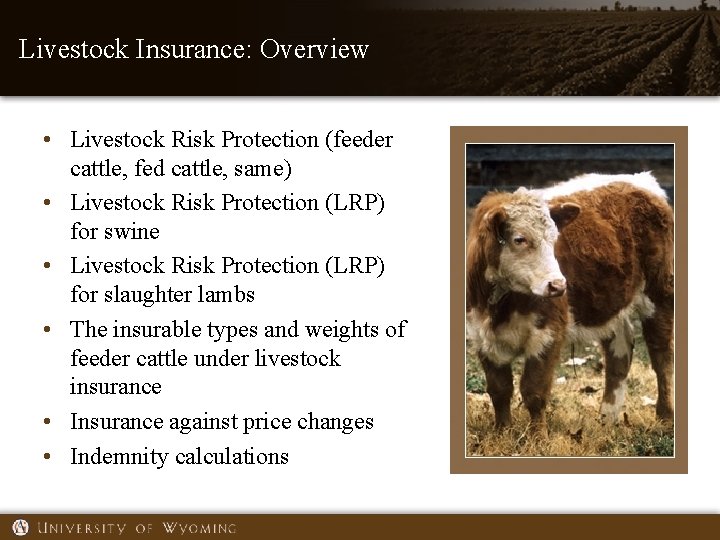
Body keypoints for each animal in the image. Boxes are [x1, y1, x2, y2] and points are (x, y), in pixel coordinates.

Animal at [466, 172, 674, 433]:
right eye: (519, 239)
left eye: (555, 238)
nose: (557, 285)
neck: (499, 307)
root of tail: (640, 180)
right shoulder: (481, 336)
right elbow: (499, 390)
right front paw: (502, 433)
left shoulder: (549, 333)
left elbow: (533, 391)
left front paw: (538, 437)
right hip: (609, 303)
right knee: (620, 352)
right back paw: (606, 419)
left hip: (660, 293)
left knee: (661, 355)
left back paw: (665, 417)